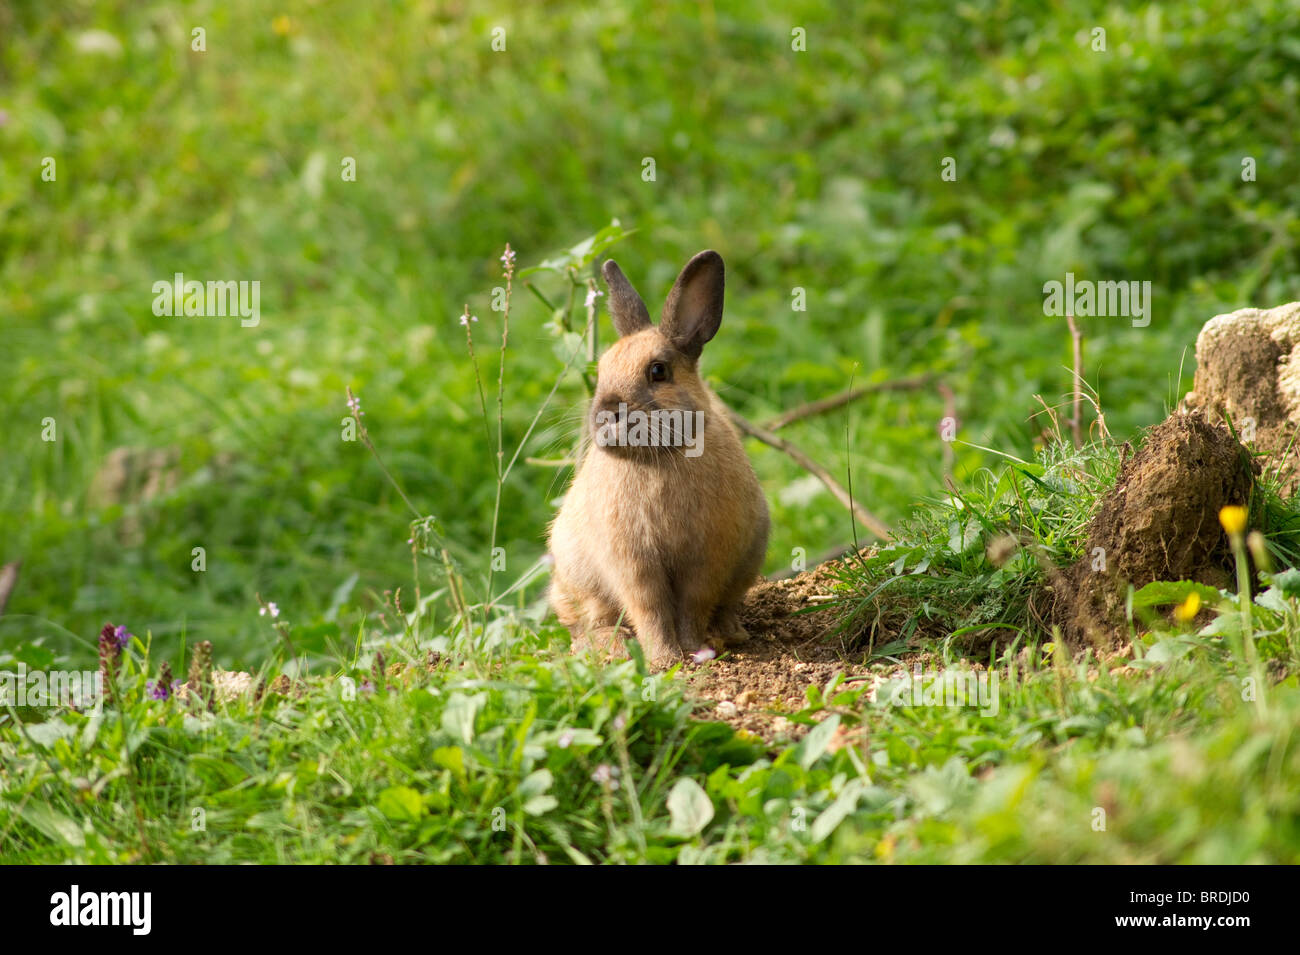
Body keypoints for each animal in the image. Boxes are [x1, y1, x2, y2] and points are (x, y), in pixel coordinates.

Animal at [548, 250, 769, 668]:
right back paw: (612, 647)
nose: (606, 413)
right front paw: (664, 660)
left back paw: (730, 634)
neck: (659, 458)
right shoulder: (634, 564)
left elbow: (691, 607)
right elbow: (649, 609)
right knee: (589, 623)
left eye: (658, 371)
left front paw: (694, 651)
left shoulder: (706, 560)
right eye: (601, 369)